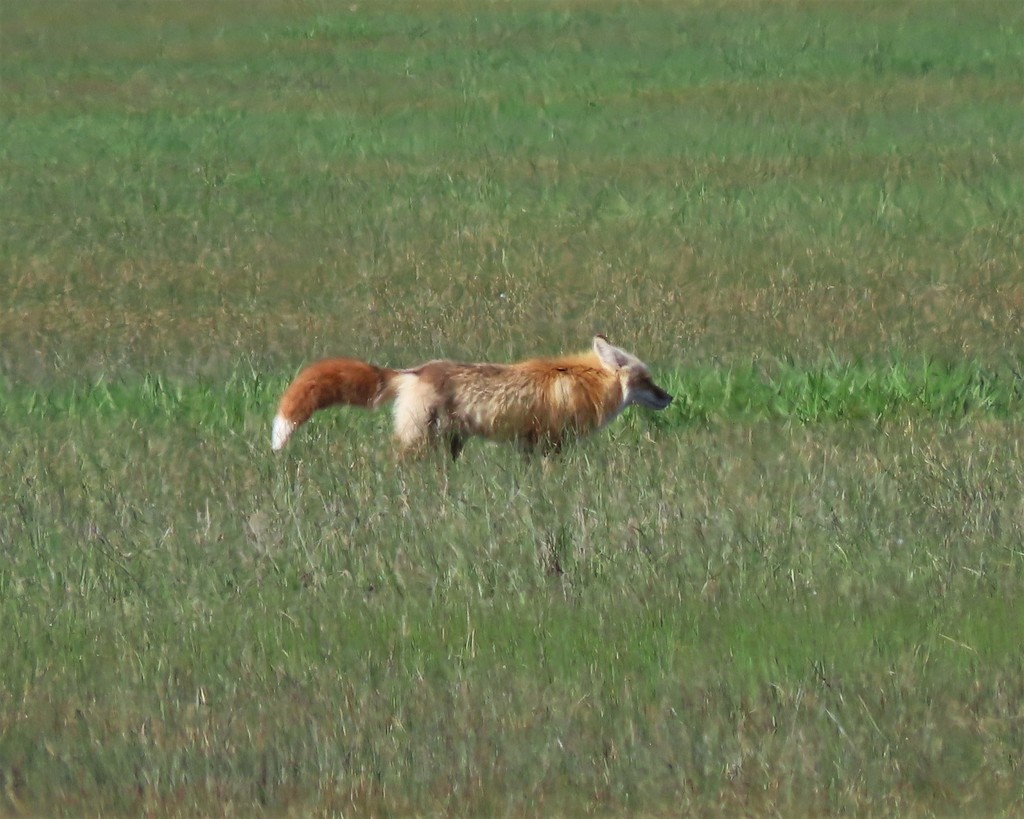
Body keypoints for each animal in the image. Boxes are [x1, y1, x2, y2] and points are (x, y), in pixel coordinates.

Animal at [271, 335, 672, 458]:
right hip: (419, 441)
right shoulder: (550, 443)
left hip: (450, 443)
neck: (582, 382)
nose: (669, 398)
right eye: (646, 380)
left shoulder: (530, 446)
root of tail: (413, 371)